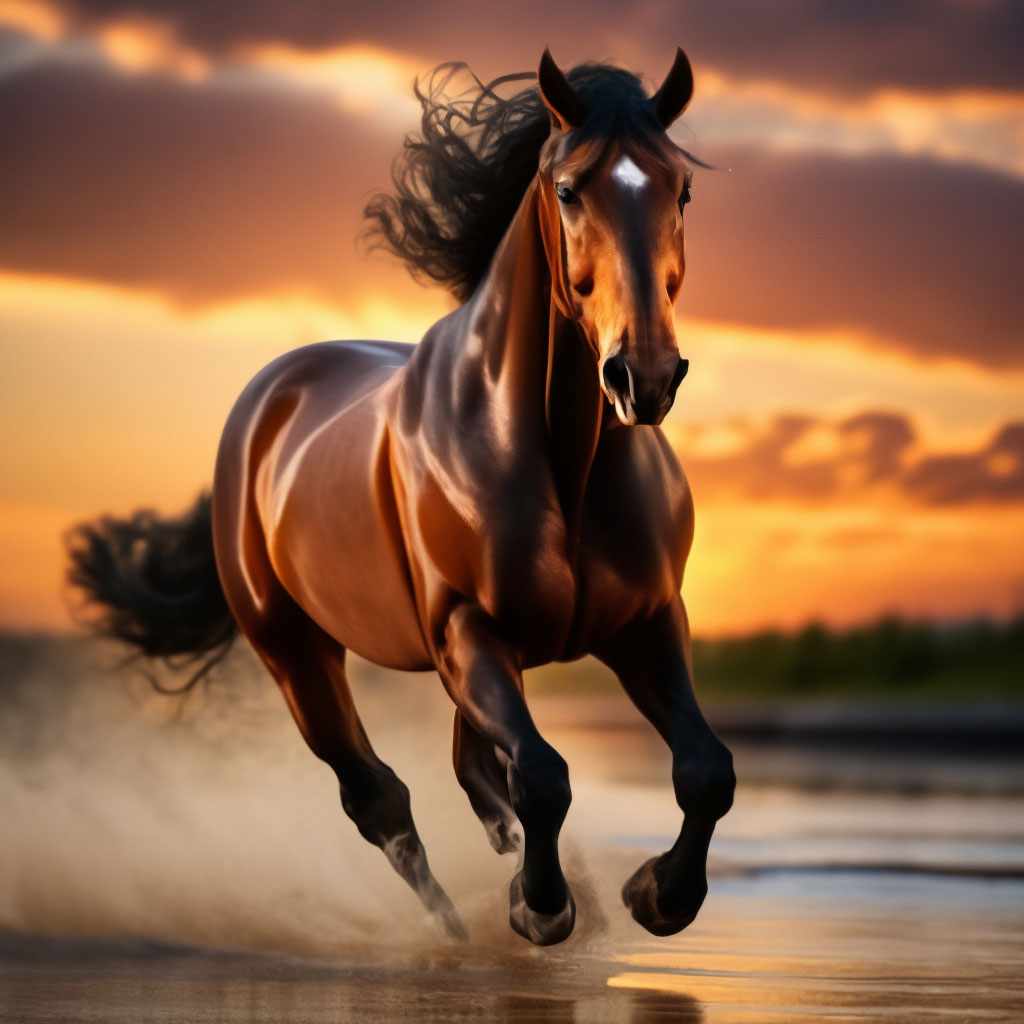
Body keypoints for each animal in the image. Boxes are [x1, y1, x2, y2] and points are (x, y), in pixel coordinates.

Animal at [67, 48, 735, 946]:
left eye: (681, 189)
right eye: (569, 189)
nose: (647, 377)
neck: (560, 463)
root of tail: (267, 396)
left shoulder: (648, 622)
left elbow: (705, 770)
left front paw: (656, 895)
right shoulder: (467, 628)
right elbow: (543, 775)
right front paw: (541, 907)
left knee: (468, 767)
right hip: (296, 652)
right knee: (381, 798)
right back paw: (455, 930)